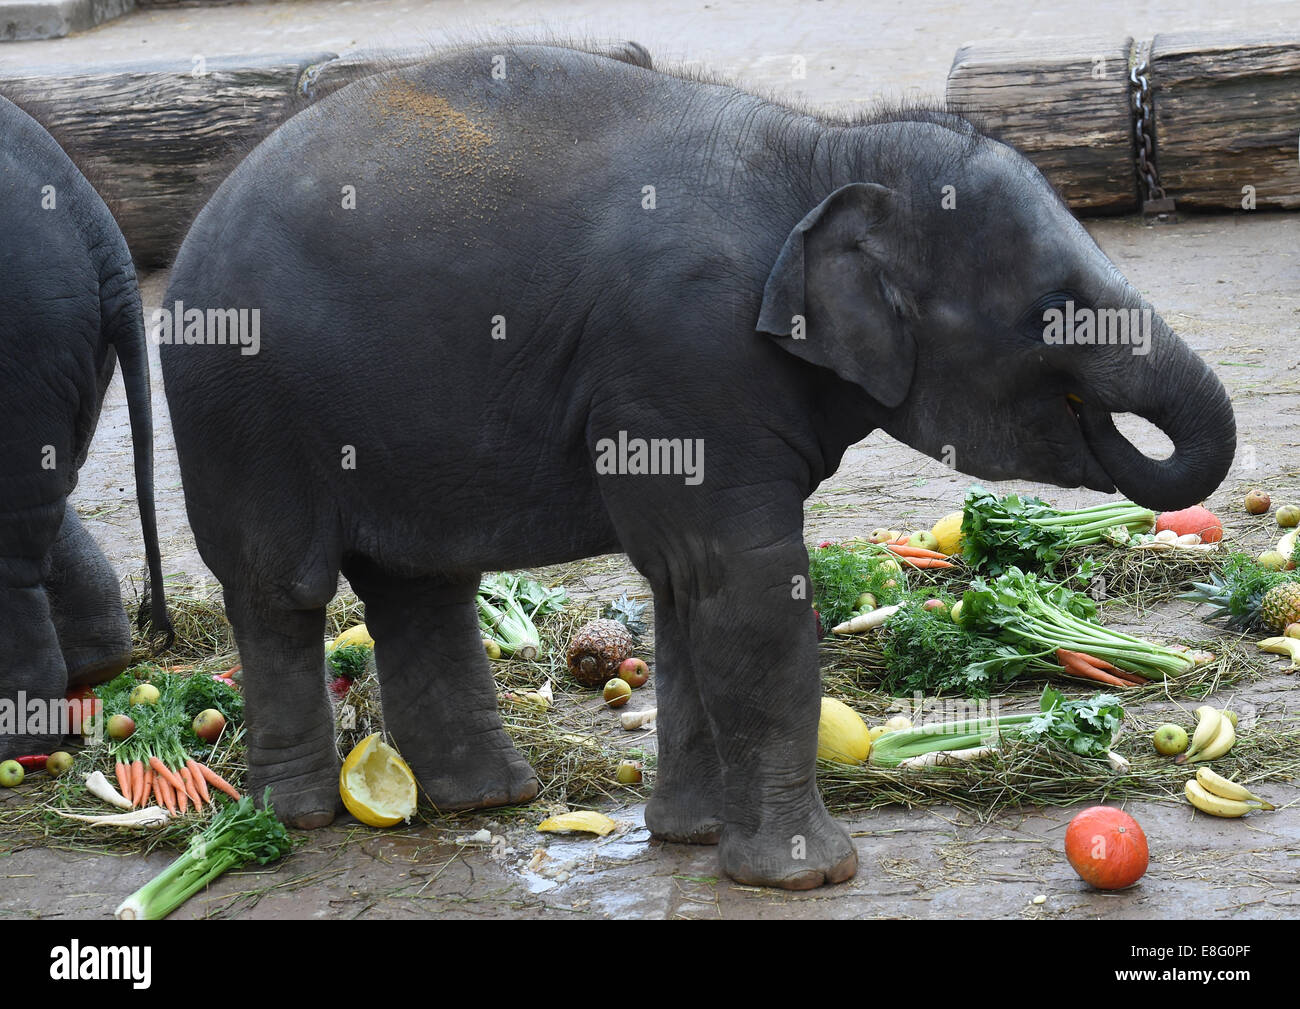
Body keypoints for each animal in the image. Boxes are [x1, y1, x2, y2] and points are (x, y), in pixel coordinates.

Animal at [159, 43, 1235, 889]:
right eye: (1052, 309)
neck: (827, 151)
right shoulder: (687, 355)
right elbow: (748, 585)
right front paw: (809, 876)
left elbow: (688, 589)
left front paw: (694, 837)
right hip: (240, 409)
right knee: (282, 587)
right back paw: (296, 819)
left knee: (418, 584)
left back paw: (483, 799)